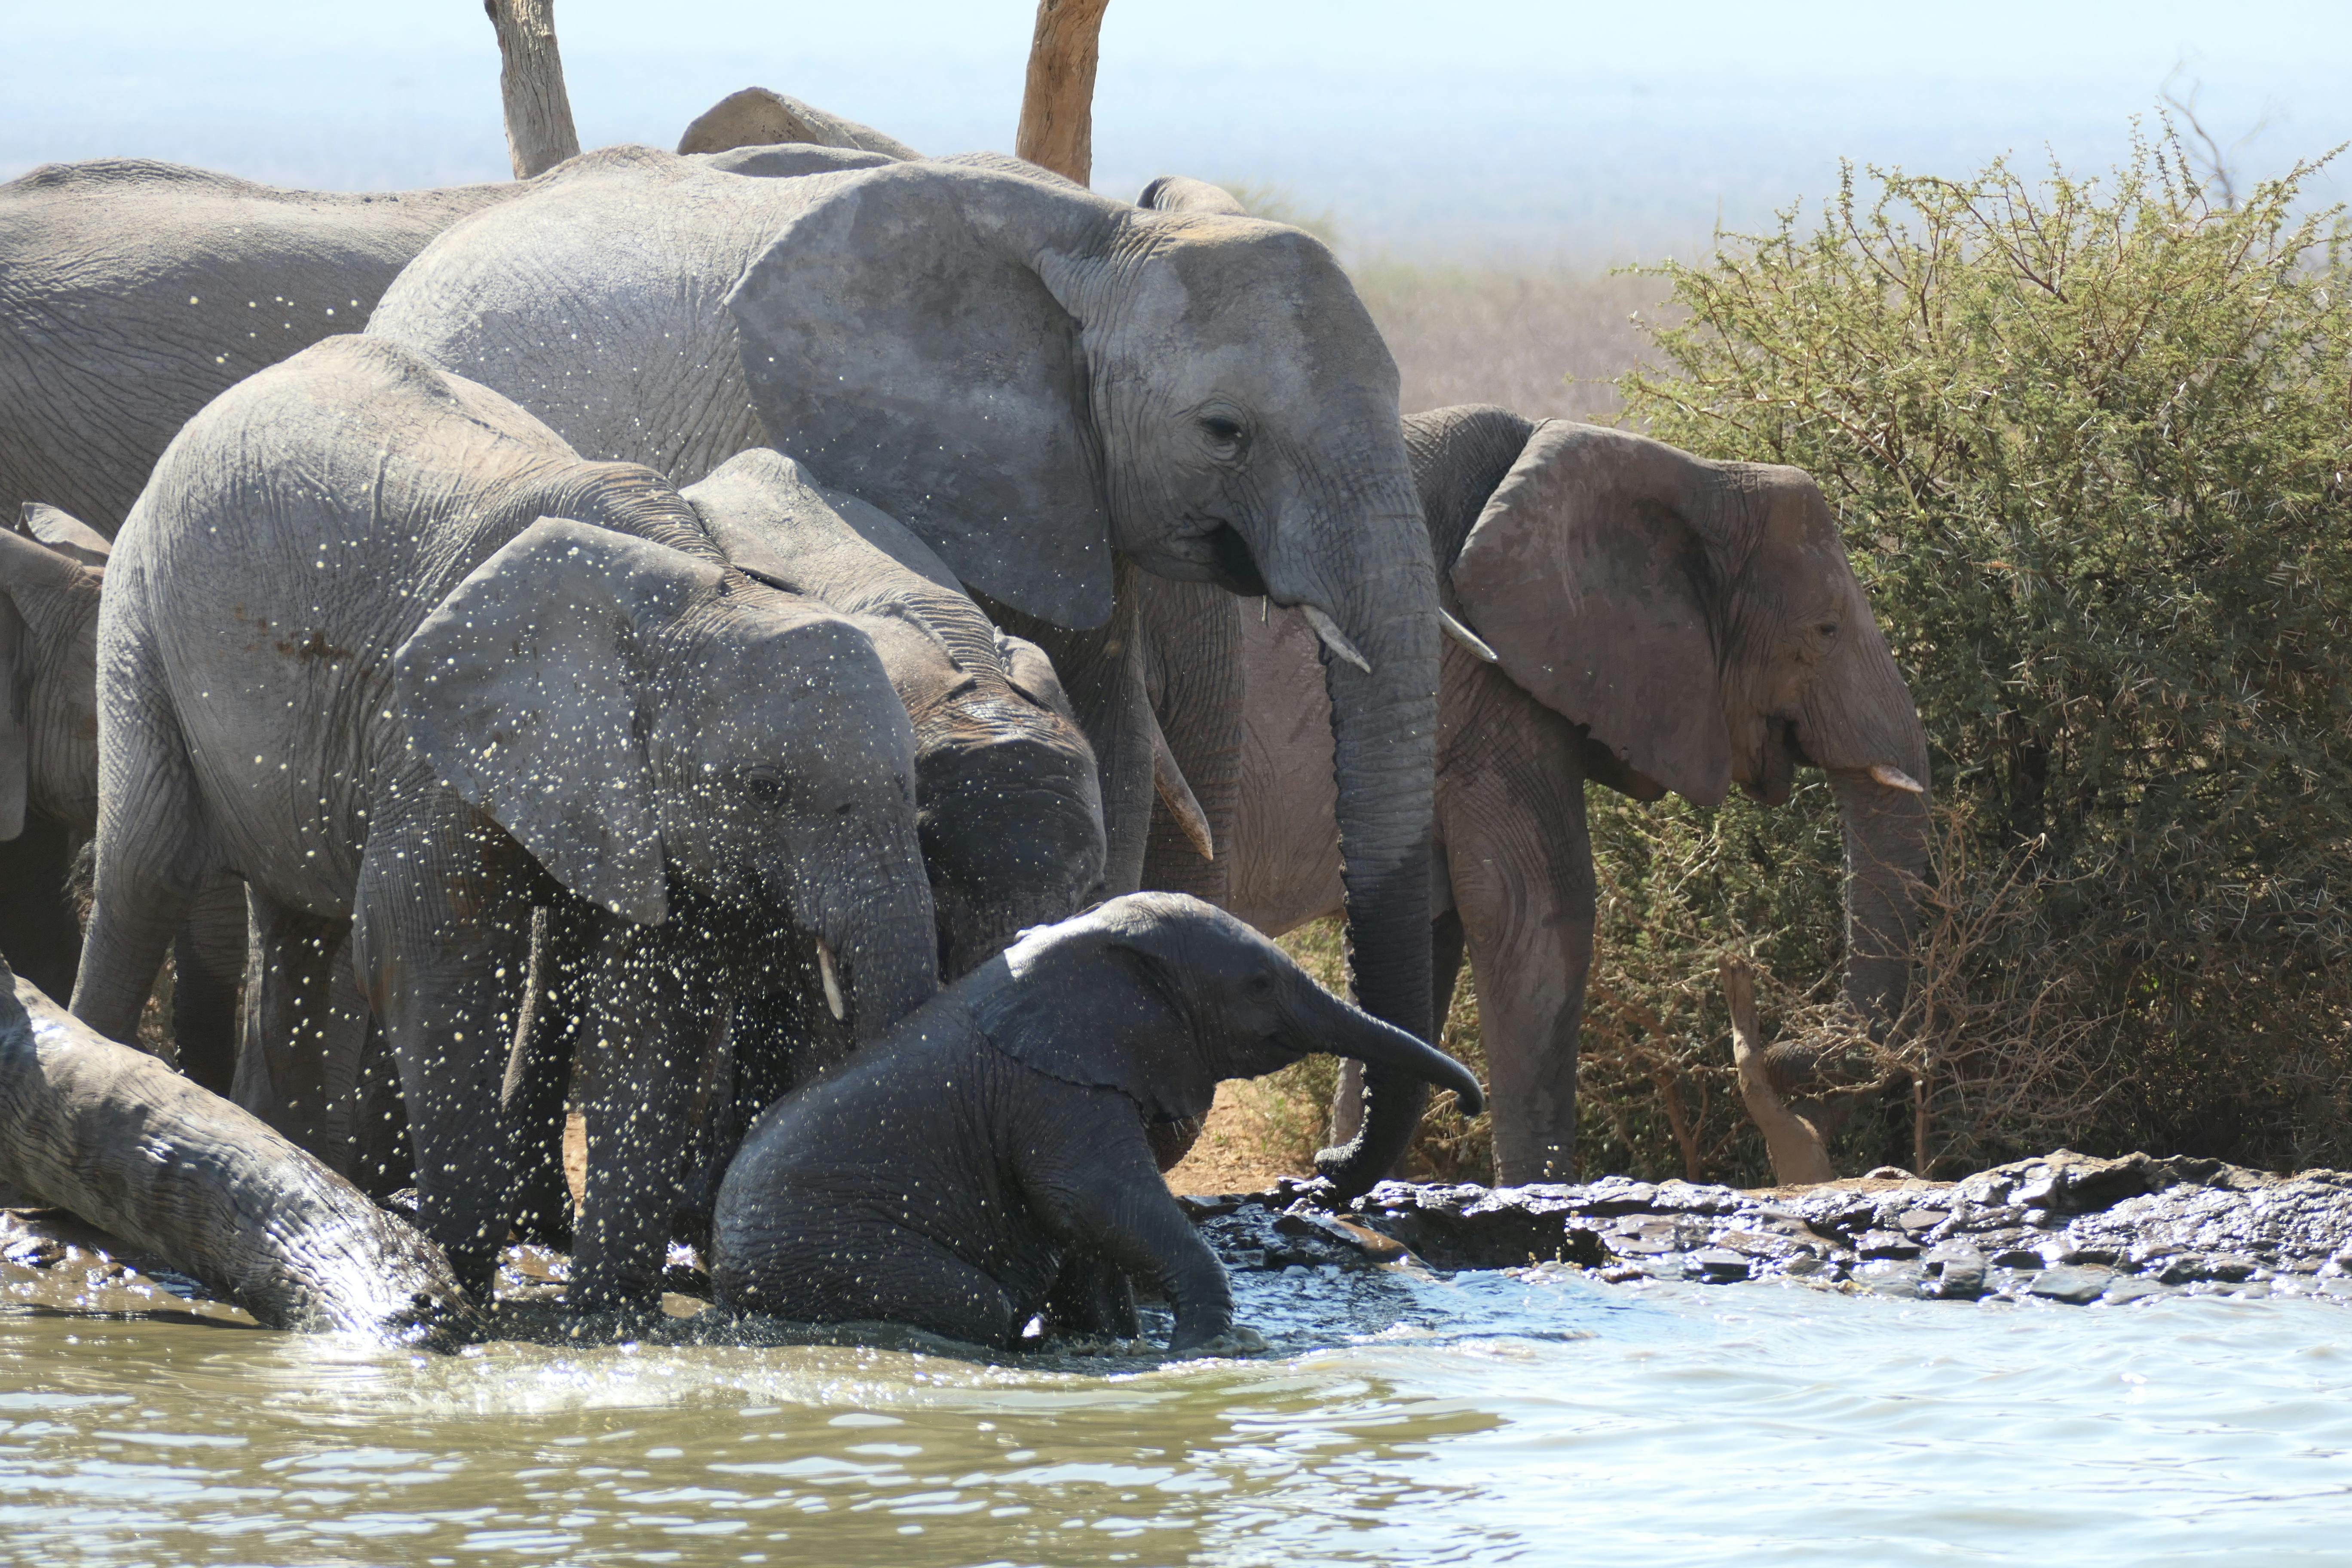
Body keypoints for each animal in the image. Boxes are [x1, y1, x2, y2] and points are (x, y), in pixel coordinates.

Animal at [72, 334, 942, 1304]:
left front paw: (607, 1314)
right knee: (146, 874)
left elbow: (650, 1004)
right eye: (762, 789)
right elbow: (429, 950)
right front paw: (458, 1289)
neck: (695, 587)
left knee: (297, 920)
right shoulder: (429, 726)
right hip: (140, 618)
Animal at [709, 893, 1484, 1354]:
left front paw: (1124, 1344)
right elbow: (1092, 1199)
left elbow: (1091, 1226)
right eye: (1260, 984)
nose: (1473, 1105)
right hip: (824, 1248)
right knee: (977, 1302)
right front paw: (1199, 1348)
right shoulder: (1056, 1090)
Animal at [1146, 405, 1932, 1185]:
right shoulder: (1496, 686)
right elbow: (1539, 915)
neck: (1692, 474)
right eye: (1824, 630)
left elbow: (1425, 940)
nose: (1773, 1032)